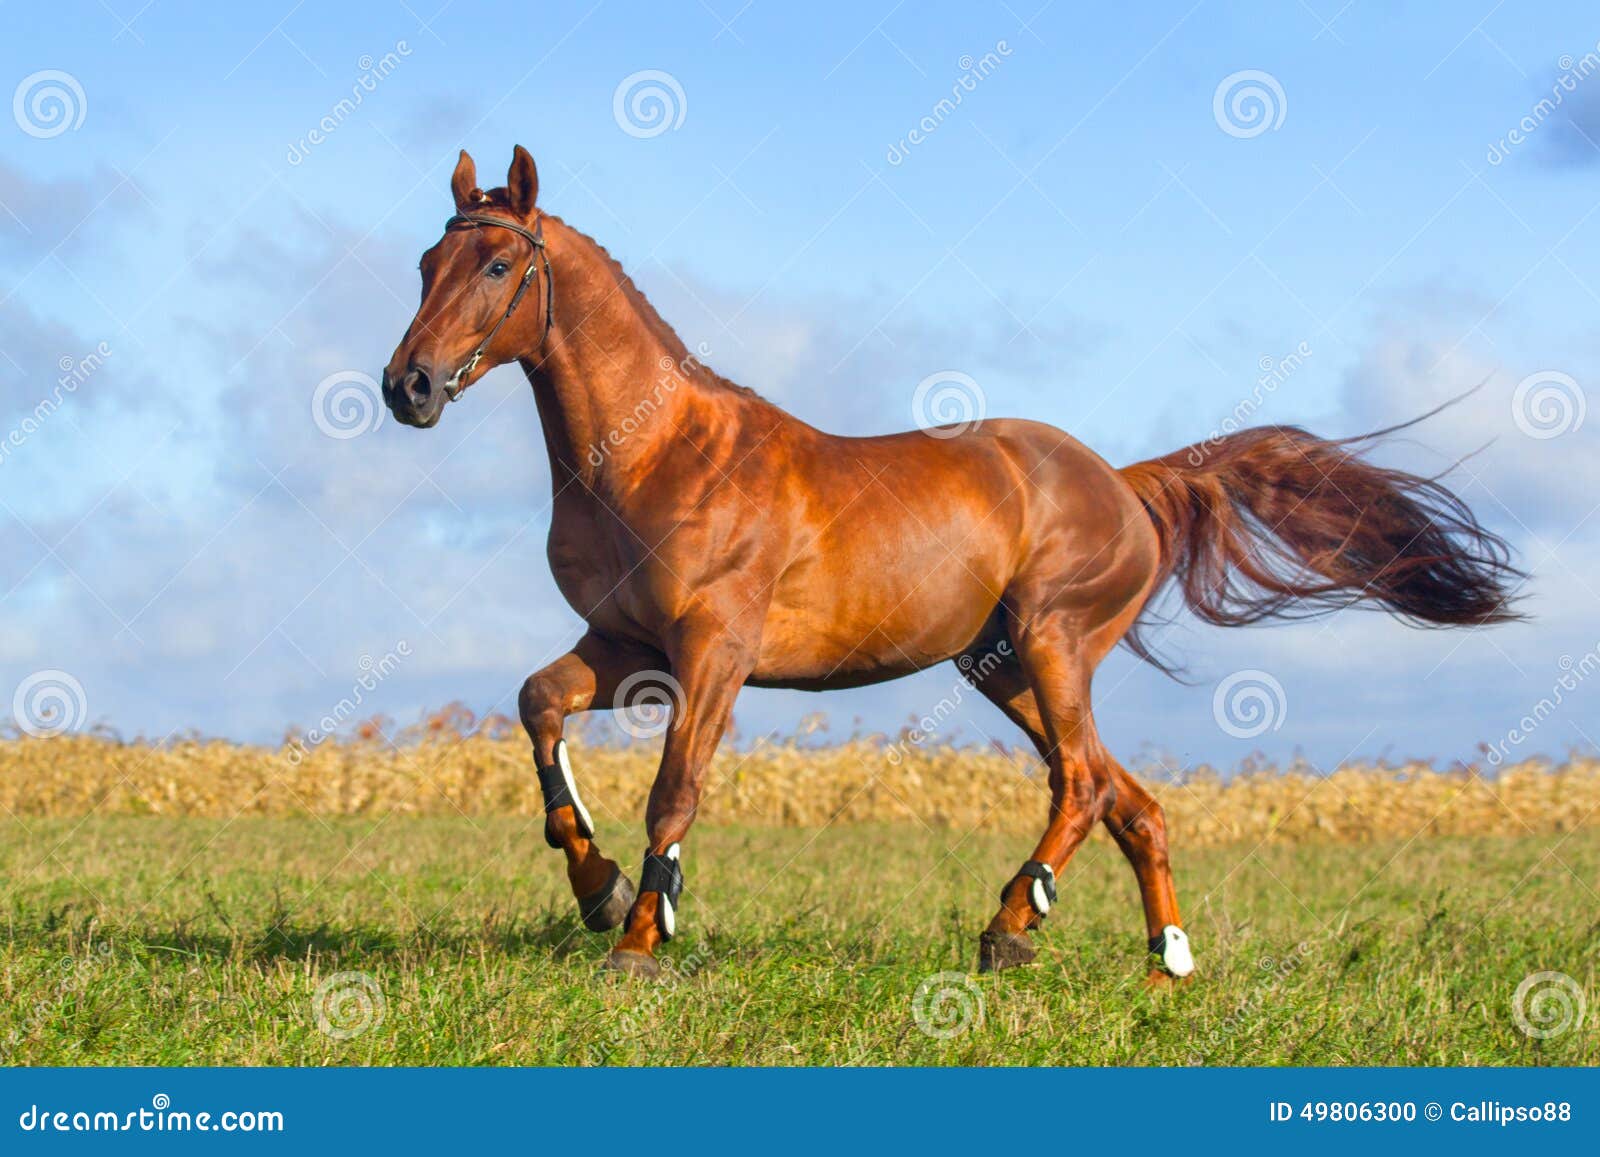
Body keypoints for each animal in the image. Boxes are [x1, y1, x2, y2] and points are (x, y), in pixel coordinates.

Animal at [381, 146, 1521, 980]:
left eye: (496, 266)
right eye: (425, 267)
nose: (409, 387)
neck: (657, 455)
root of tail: (1124, 480)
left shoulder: (712, 653)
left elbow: (676, 789)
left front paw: (636, 944)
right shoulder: (624, 643)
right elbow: (537, 703)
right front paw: (601, 888)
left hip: (1056, 642)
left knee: (1084, 785)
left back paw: (1011, 925)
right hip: (1001, 664)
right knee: (1123, 796)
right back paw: (1162, 959)